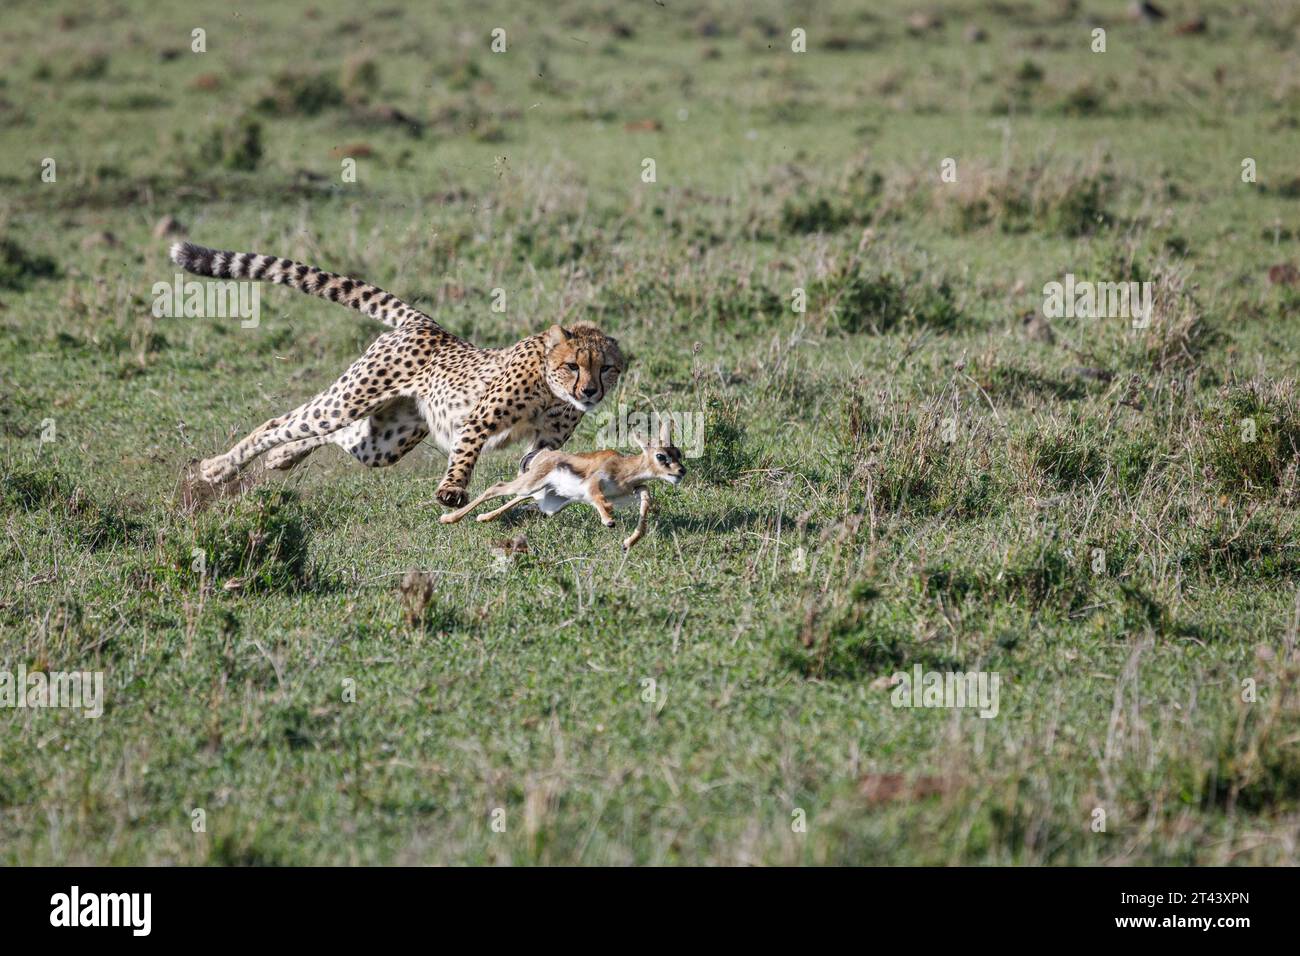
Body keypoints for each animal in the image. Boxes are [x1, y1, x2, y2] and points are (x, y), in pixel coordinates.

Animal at [169, 241, 623, 508]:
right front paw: (453, 489)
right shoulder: (478, 420)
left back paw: (283, 457)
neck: (551, 390)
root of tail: (425, 323)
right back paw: (218, 468)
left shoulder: (546, 441)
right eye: (572, 365)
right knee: (280, 423)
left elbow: (536, 461)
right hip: (352, 399)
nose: (590, 392)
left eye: (606, 368)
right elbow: (465, 453)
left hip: (385, 440)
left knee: (337, 435)